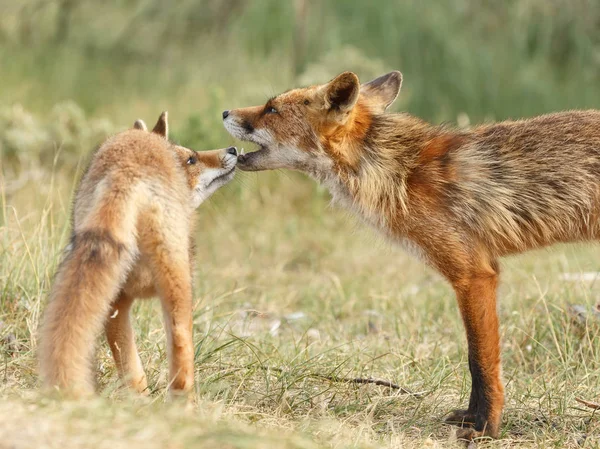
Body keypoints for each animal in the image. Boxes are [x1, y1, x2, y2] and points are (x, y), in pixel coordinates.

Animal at [38, 112, 237, 396]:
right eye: (192, 158)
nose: (232, 149)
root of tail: (128, 170)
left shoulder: (118, 303)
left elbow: (129, 363)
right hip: (177, 279)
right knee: (182, 342)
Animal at [223, 71, 600, 438]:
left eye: (271, 109)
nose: (226, 112)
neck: (402, 172)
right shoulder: (479, 269)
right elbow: (476, 359)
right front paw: (471, 418)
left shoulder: (474, 274)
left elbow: (480, 359)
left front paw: (484, 427)